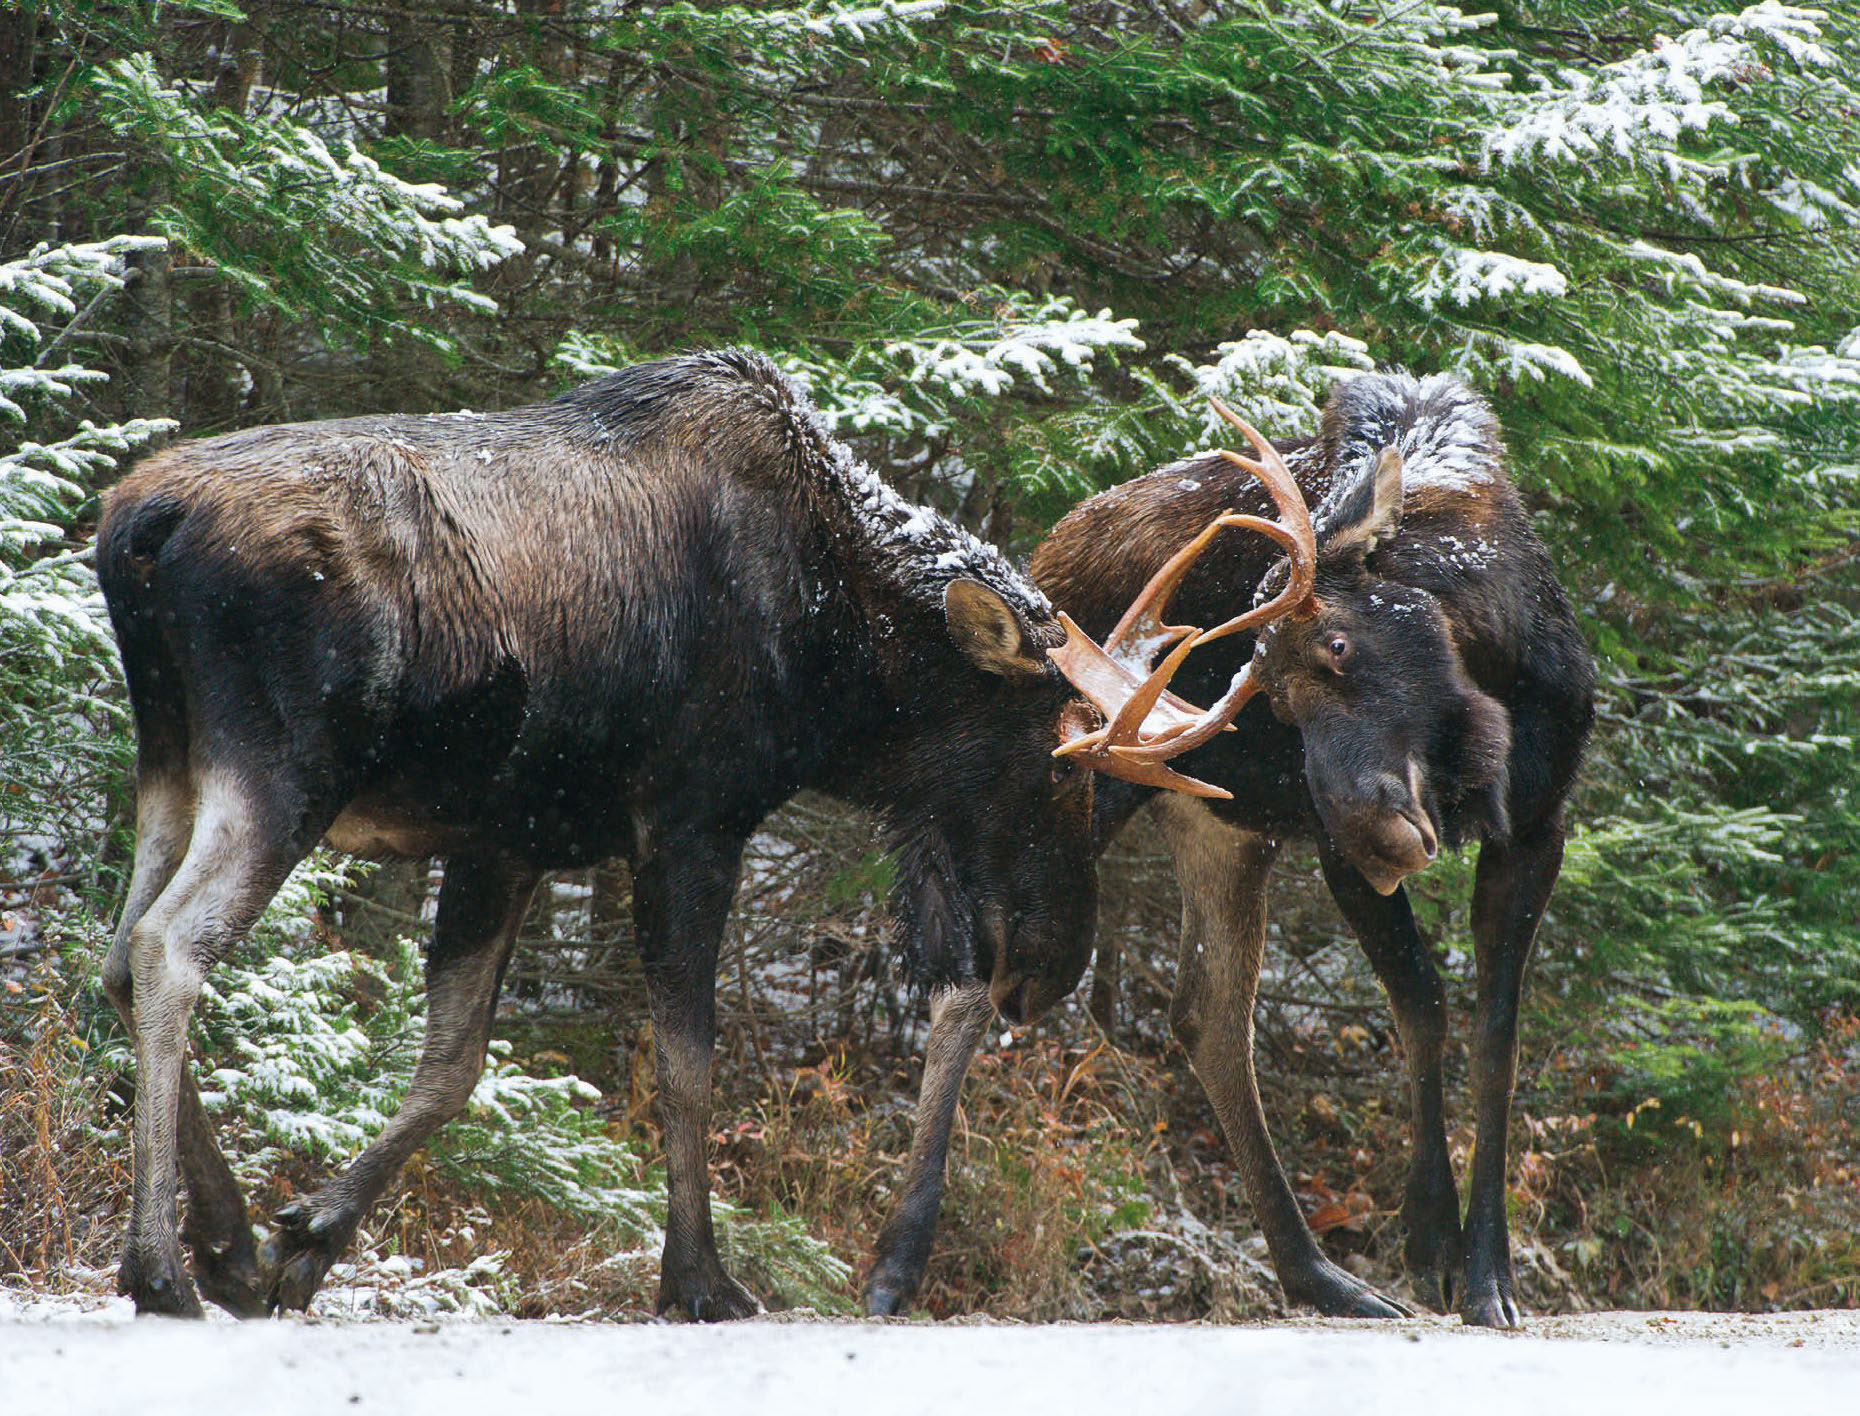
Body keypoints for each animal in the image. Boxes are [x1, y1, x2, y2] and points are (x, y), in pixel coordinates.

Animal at [93, 348, 1224, 1322]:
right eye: (1059, 761)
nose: (1048, 969)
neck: (838, 662)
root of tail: (139, 524)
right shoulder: (690, 822)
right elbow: (685, 1058)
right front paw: (701, 1280)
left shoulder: (509, 839)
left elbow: (454, 1064)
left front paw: (311, 1235)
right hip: (285, 767)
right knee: (169, 948)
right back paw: (160, 1270)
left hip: (169, 754)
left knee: (115, 954)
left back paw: (227, 1246)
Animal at [862, 372, 1595, 1328]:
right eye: (1276, 702)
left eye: (1337, 643)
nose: (1382, 834)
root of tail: (1050, 551)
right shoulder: (1334, 848)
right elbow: (1426, 1010)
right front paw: (1431, 1241)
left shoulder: (1539, 824)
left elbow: (1497, 1042)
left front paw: (1491, 1277)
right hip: (1084, 792)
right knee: (970, 985)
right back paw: (895, 1262)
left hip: (1223, 826)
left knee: (1205, 1013)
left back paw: (1319, 1277)